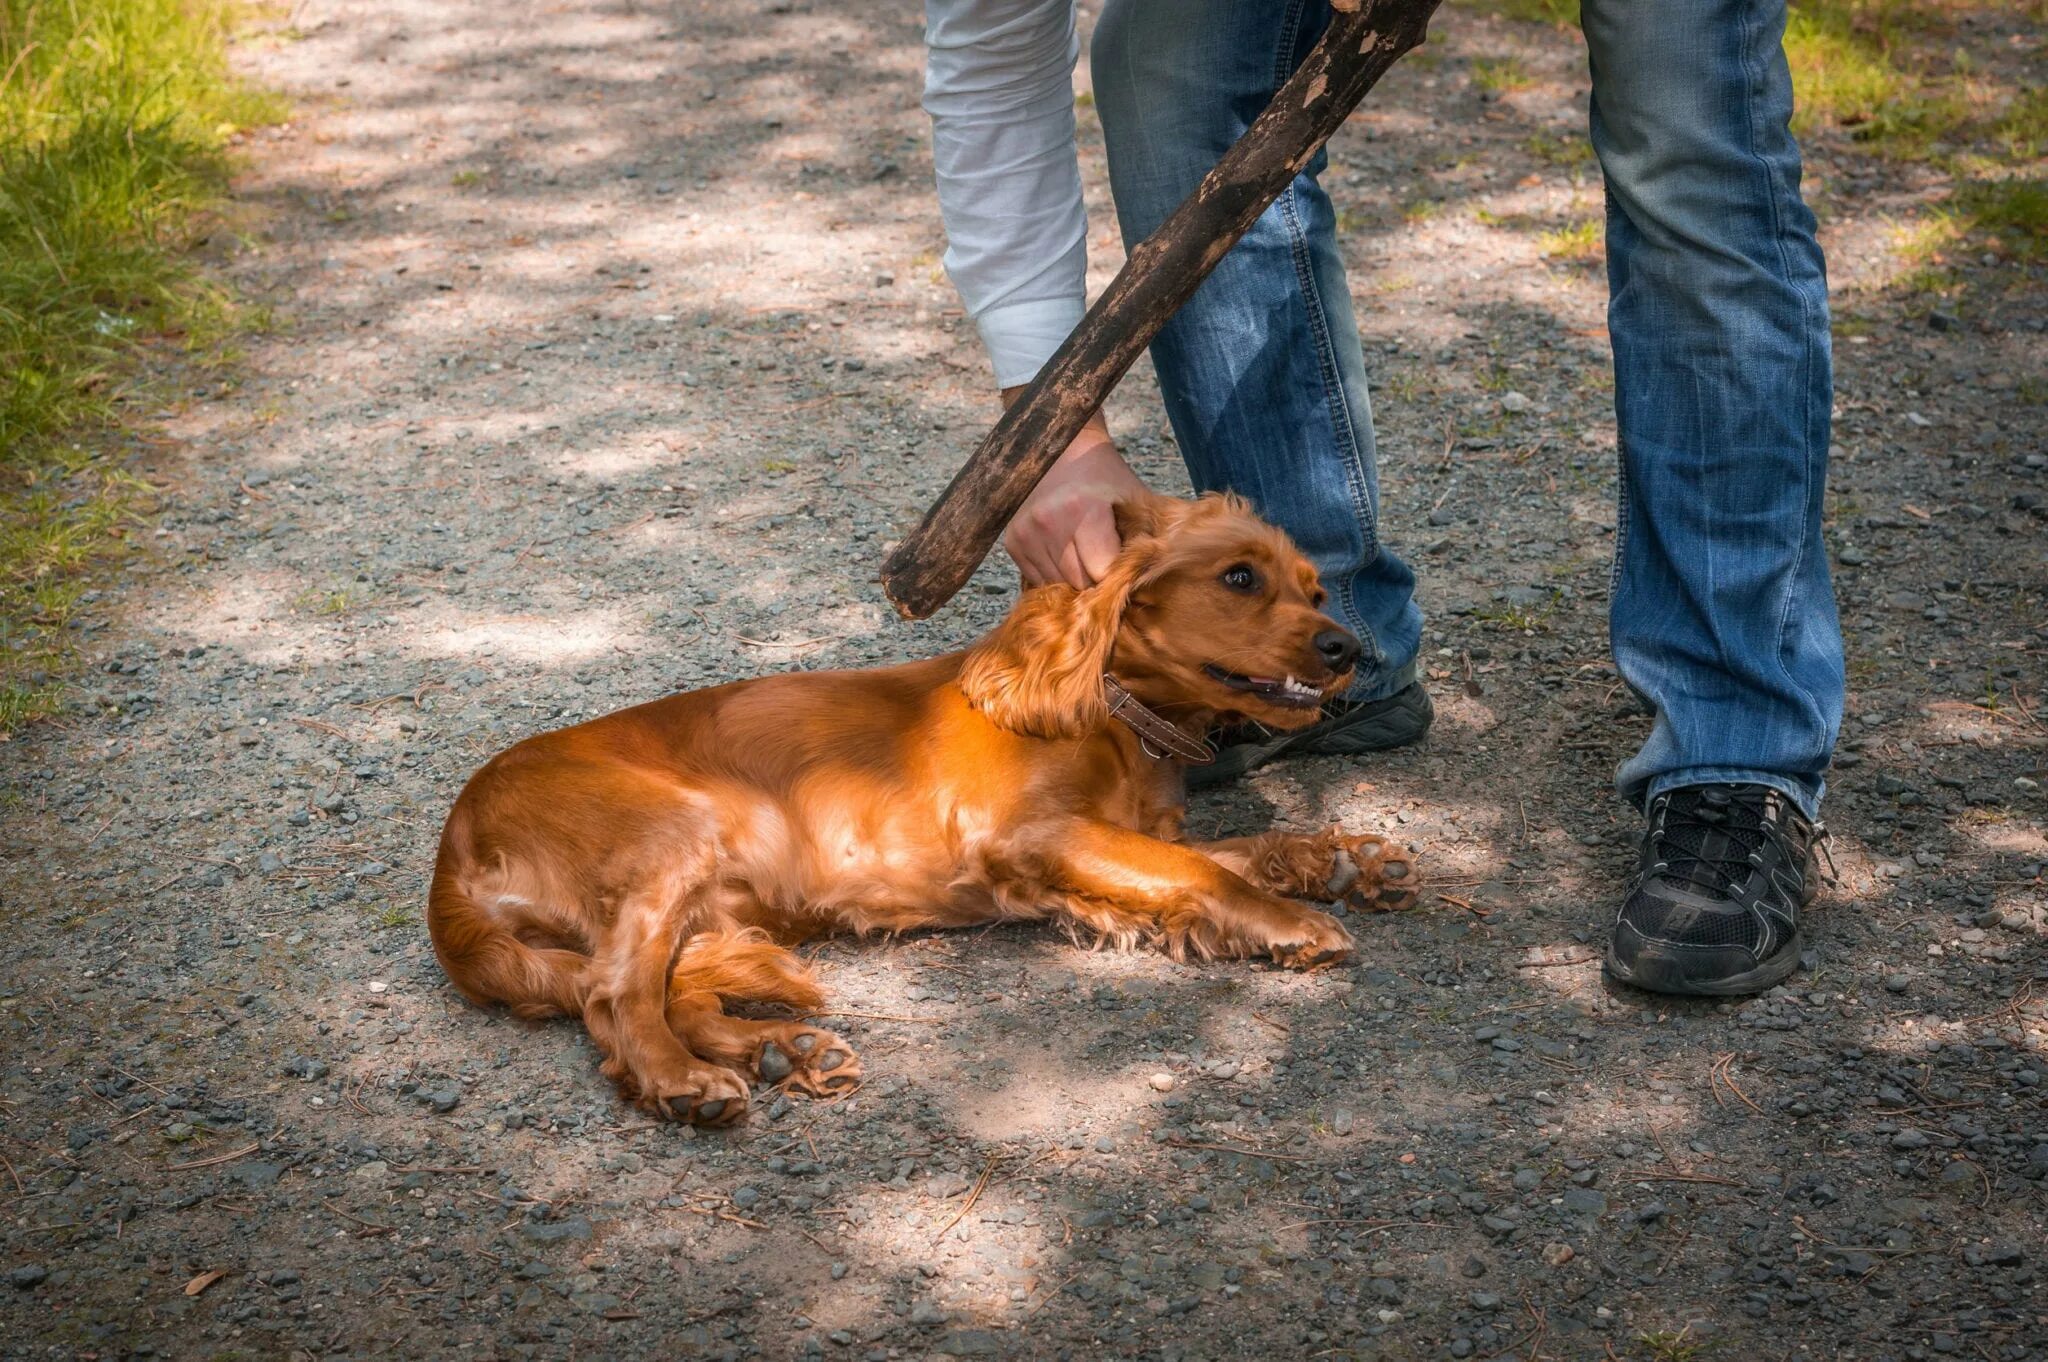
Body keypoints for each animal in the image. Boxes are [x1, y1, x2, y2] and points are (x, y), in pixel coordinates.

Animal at [428, 493, 1425, 1122]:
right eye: (1240, 579)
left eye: (1317, 589)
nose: (1344, 648)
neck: (1117, 717)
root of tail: (453, 849)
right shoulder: (1034, 835)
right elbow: (1200, 871)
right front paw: (1296, 922)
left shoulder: (1116, 839)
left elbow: (1234, 850)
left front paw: (1349, 859)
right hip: (672, 840)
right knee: (616, 993)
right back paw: (686, 1080)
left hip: (720, 910)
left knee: (675, 992)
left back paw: (783, 1050)